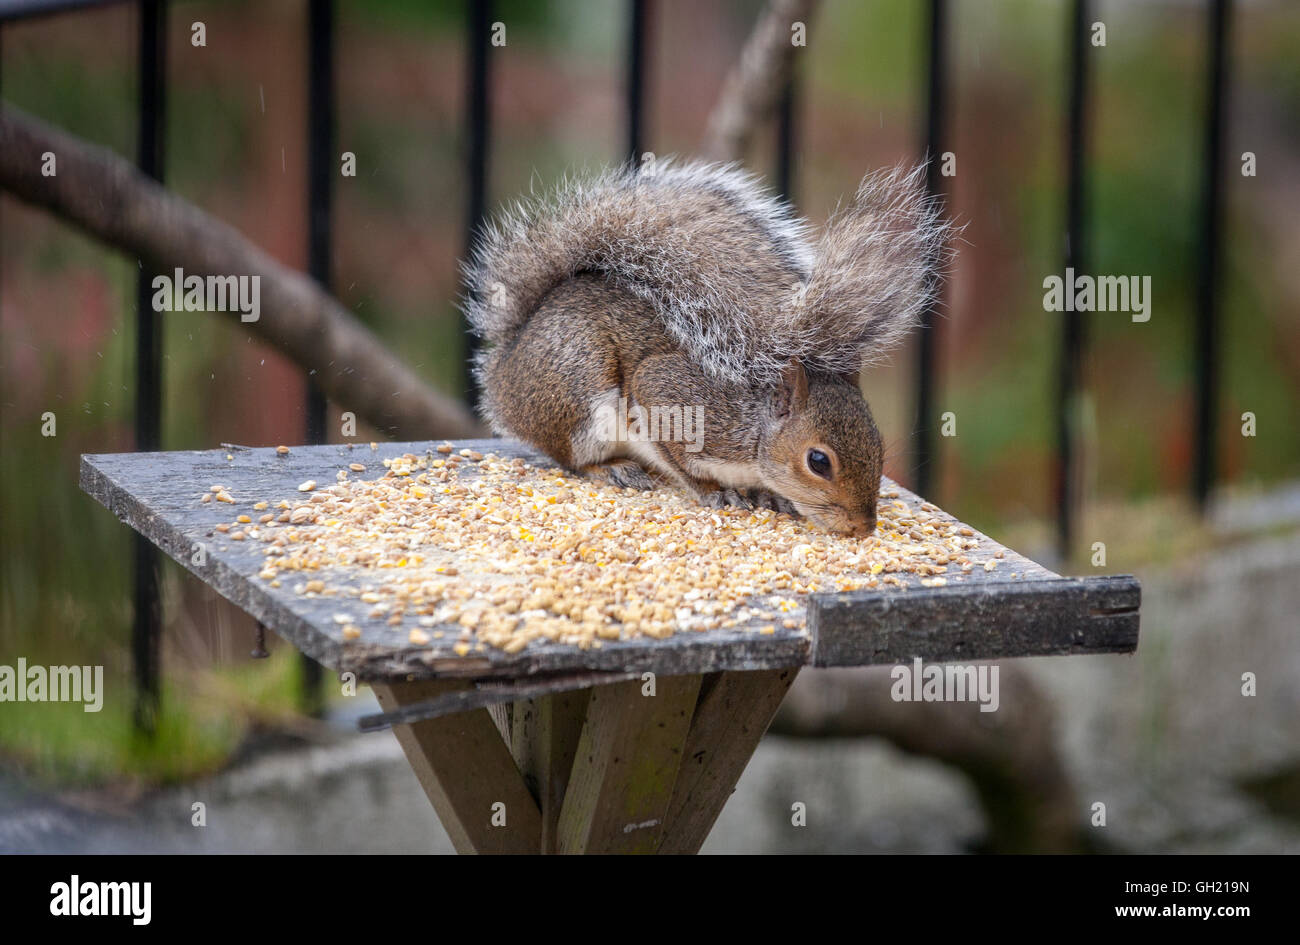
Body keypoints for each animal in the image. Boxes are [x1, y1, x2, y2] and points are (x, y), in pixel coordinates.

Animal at [462, 159, 952, 537]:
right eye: (818, 461)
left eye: (878, 443)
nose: (864, 528)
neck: (754, 434)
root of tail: (507, 364)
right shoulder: (672, 400)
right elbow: (679, 459)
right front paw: (715, 493)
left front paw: (769, 497)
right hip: (579, 384)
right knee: (568, 456)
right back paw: (611, 467)